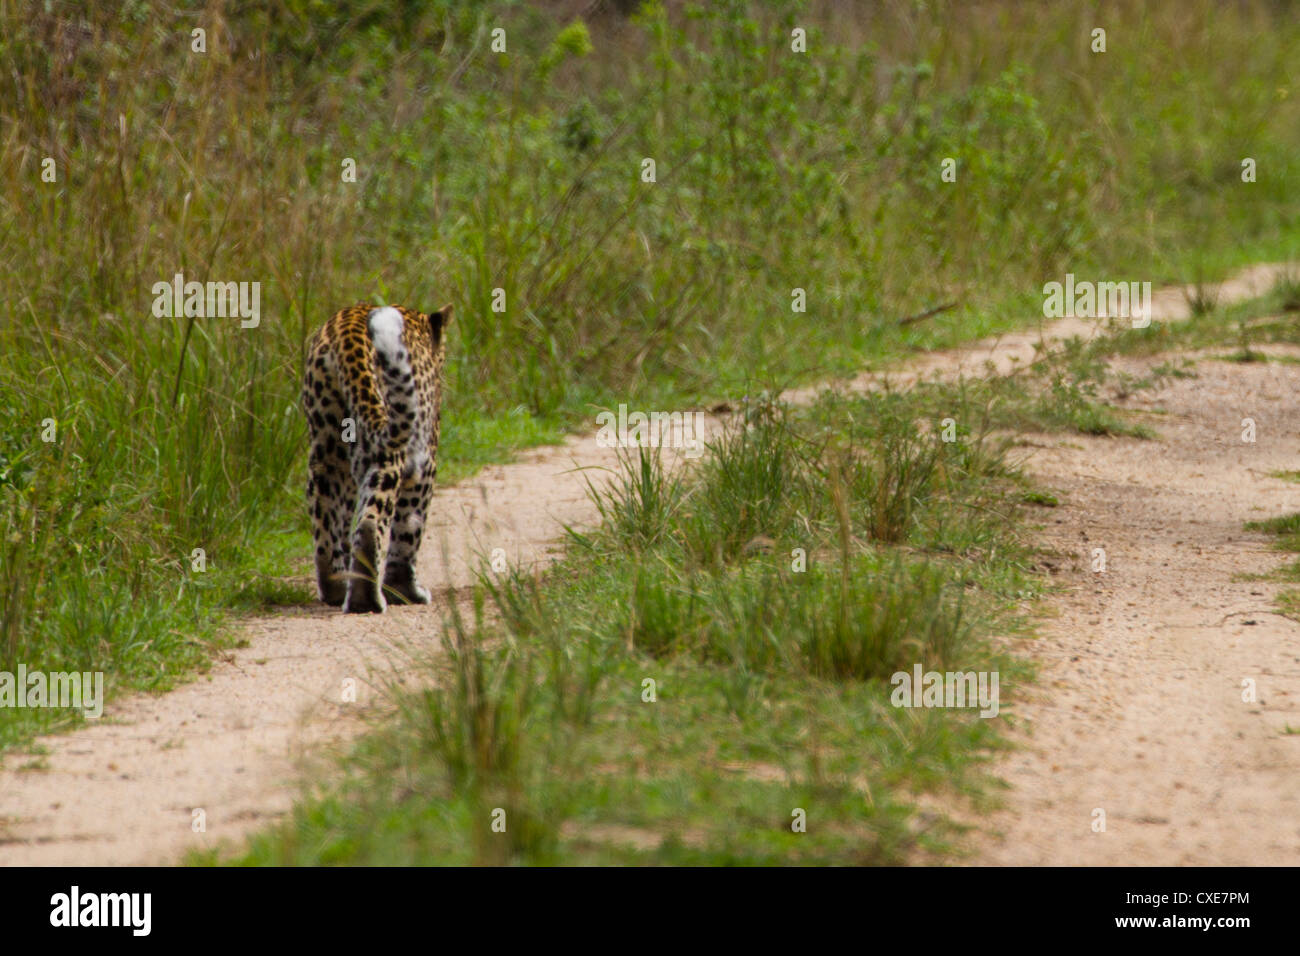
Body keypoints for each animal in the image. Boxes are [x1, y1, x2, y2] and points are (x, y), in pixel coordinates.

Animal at [301, 302, 452, 613]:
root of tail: (345, 332)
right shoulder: (426, 462)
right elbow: (409, 530)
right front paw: (405, 591)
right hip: (391, 444)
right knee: (373, 522)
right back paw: (366, 598)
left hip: (328, 452)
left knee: (325, 521)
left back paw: (336, 587)